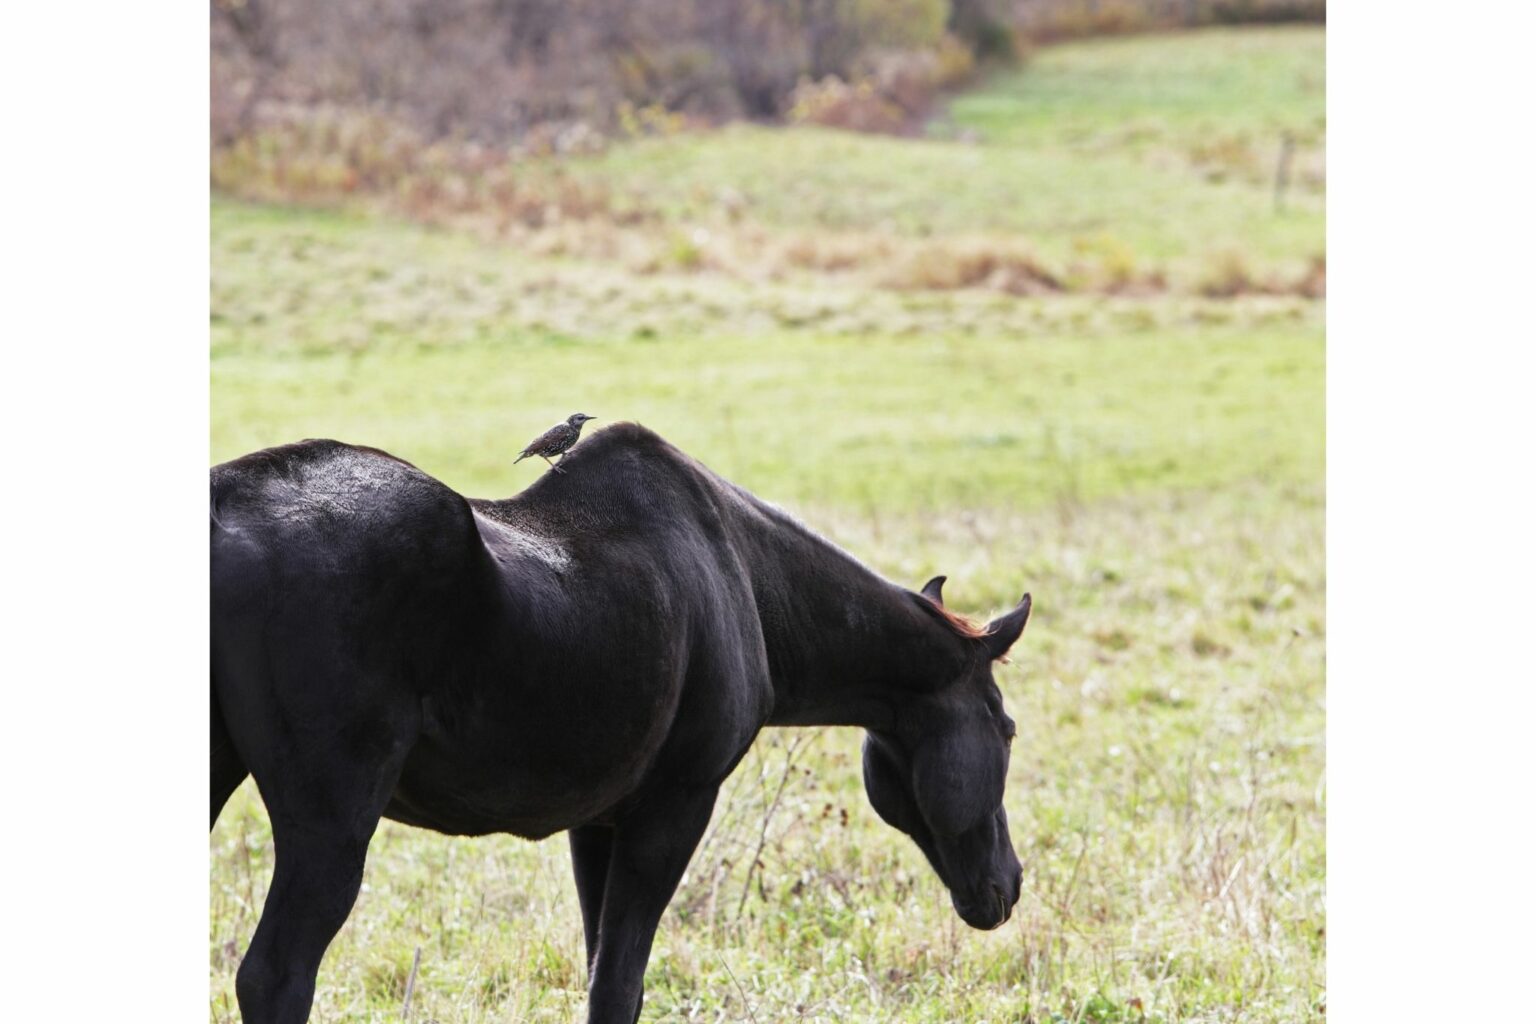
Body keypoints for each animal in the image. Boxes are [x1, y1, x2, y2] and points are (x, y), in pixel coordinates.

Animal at [210, 423, 1033, 1023]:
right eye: (1007, 727)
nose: (1009, 883)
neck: (750, 582)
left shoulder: (597, 823)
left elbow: (600, 972)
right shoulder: (672, 808)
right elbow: (619, 989)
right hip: (332, 820)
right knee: (275, 978)